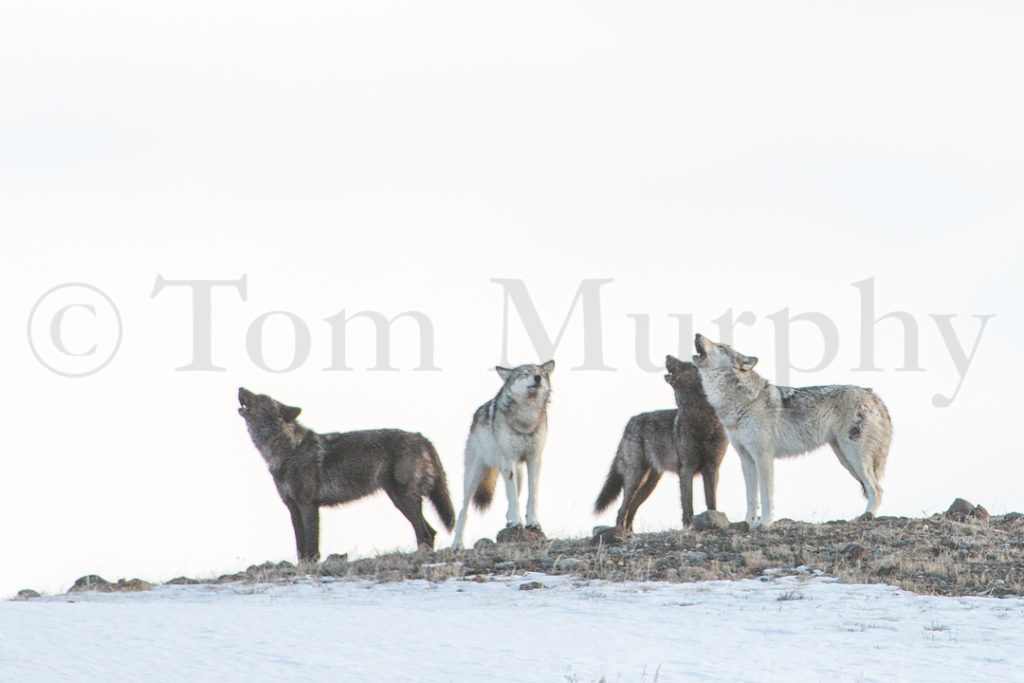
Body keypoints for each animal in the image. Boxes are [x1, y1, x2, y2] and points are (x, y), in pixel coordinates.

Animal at [237, 387, 455, 562]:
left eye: (261, 397)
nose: (240, 388)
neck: (289, 450)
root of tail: (421, 437)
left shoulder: (308, 505)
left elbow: (311, 545)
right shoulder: (293, 508)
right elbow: (300, 547)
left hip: (404, 499)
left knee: (425, 532)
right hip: (398, 500)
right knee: (429, 532)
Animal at [450, 361, 554, 549]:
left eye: (540, 373)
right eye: (525, 374)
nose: (537, 378)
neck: (526, 419)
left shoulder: (534, 459)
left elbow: (532, 496)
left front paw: (533, 523)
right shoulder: (509, 460)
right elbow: (513, 499)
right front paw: (516, 522)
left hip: (517, 473)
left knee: (512, 497)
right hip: (475, 476)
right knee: (463, 510)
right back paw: (457, 544)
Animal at [594, 356, 728, 532]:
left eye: (691, 365)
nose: (668, 356)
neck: (701, 423)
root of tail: (630, 421)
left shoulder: (712, 468)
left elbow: (711, 502)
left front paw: (713, 520)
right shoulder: (687, 469)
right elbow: (688, 506)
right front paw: (688, 528)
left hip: (650, 483)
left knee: (631, 508)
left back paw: (630, 533)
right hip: (635, 478)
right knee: (622, 509)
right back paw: (621, 533)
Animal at [692, 334, 892, 528]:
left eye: (721, 346)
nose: (697, 334)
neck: (741, 401)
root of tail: (872, 395)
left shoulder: (764, 457)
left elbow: (765, 494)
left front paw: (765, 523)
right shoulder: (746, 459)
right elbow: (751, 496)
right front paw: (748, 522)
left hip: (855, 456)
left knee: (877, 489)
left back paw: (866, 516)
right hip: (845, 458)